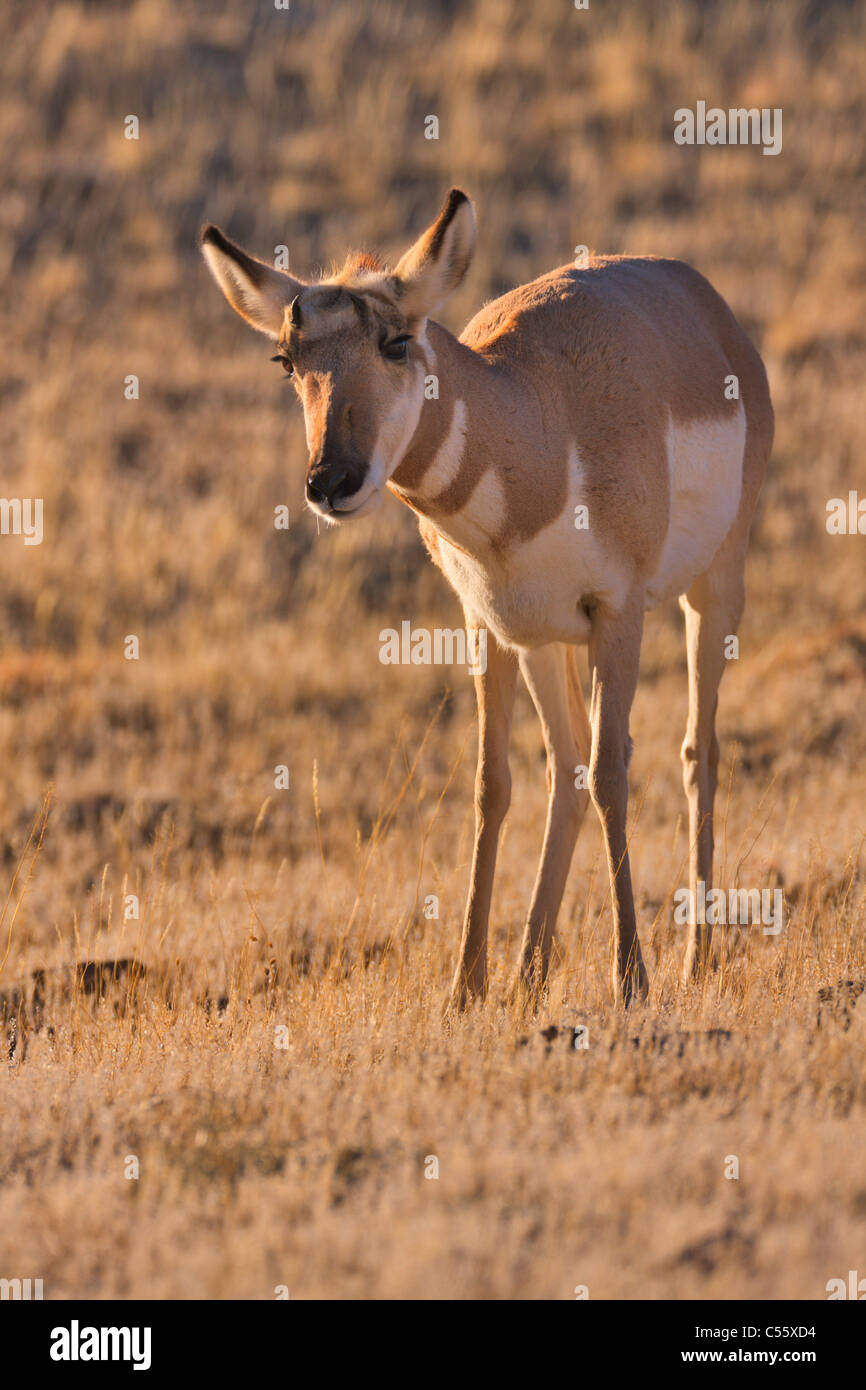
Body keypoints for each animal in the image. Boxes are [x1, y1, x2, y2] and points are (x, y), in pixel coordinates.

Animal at [201, 189, 773, 1009]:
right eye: (288, 360)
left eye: (397, 341)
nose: (331, 482)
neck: (540, 421)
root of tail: (703, 302)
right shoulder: (487, 628)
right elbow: (491, 786)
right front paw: (465, 988)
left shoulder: (618, 616)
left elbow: (614, 773)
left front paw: (631, 980)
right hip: (544, 642)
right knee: (564, 772)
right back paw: (529, 974)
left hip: (711, 590)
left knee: (698, 751)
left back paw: (695, 961)